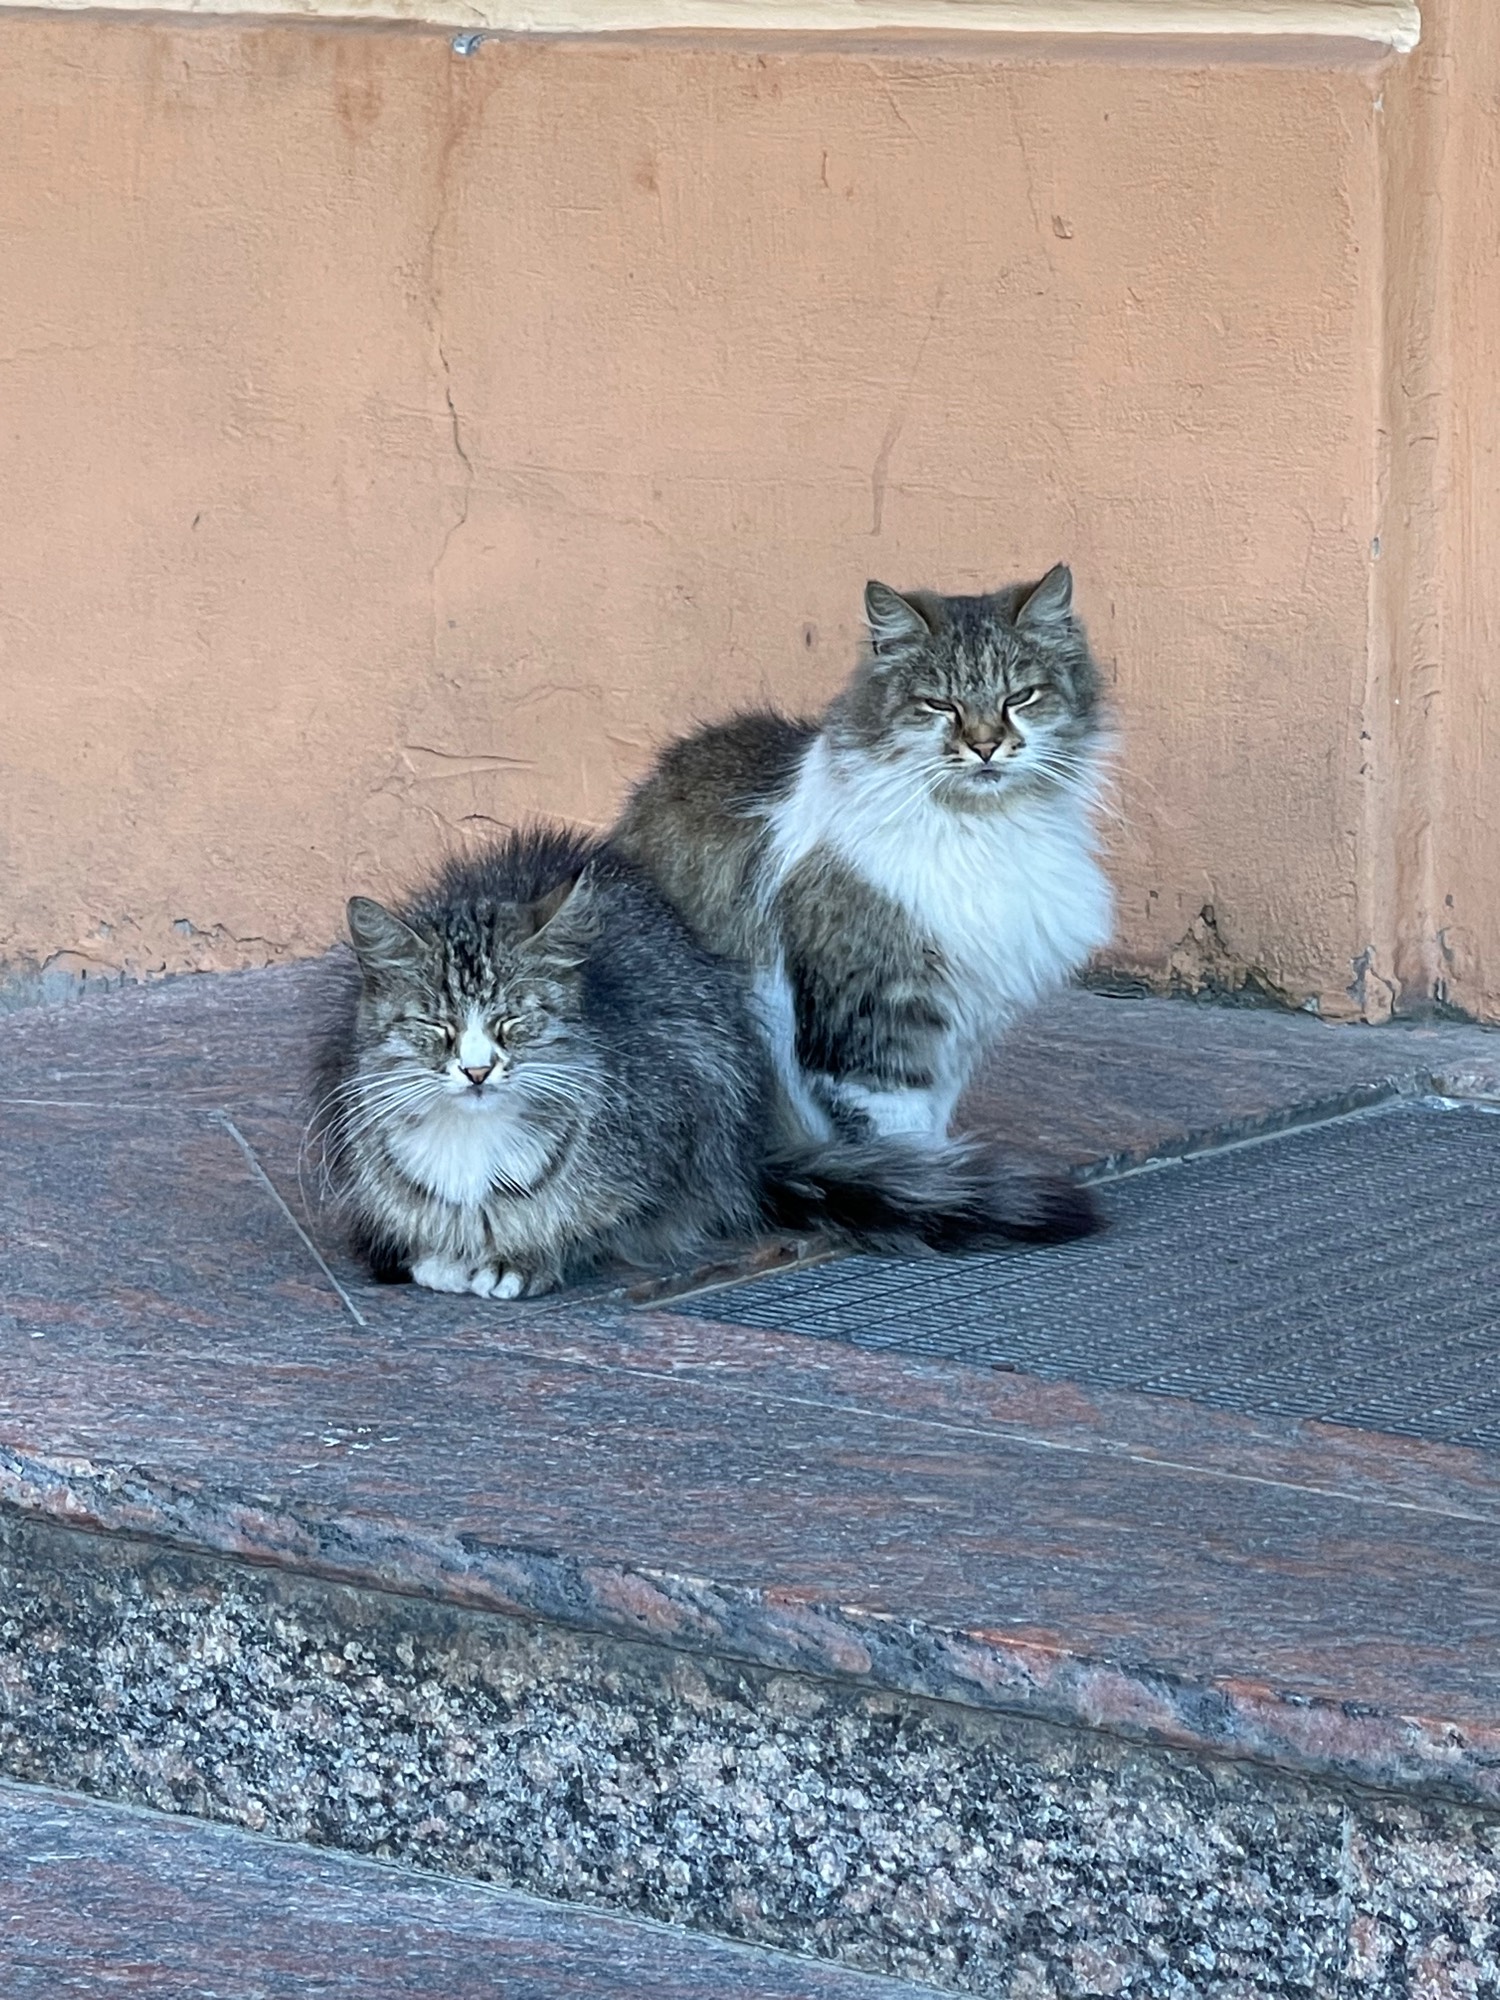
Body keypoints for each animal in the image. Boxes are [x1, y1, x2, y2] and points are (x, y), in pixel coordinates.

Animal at [314, 816, 1096, 1296]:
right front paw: (437, 1256)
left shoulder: (676, 1117)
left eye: (513, 1020)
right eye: (436, 1025)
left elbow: (597, 1223)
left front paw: (527, 1256)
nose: (477, 1070)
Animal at [612, 572, 1120, 1152]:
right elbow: (902, 1141)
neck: (983, 831)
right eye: (939, 705)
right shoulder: (871, 1025)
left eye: (1020, 697)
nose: (986, 746)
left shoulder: (959, 1026)